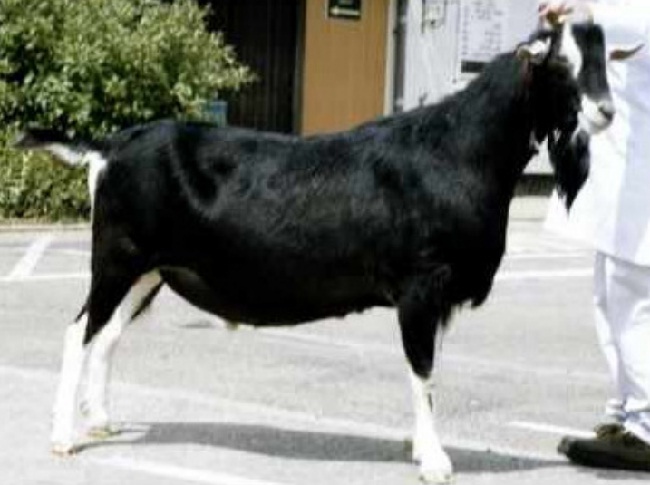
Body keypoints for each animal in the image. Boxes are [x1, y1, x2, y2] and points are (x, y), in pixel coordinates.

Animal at [16, 18, 627, 484]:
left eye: (605, 62)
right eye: (560, 64)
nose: (605, 111)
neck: (457, 150)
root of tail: (110, 146)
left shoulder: (441, 296)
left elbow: (432, 369)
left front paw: (420, 444)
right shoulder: (420, 284)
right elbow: (423, 369)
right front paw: (434, 460)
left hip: (152, 270)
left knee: (108, 335)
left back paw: (101, 420)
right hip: (118, 257)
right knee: (80, 331)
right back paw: (64, 437)